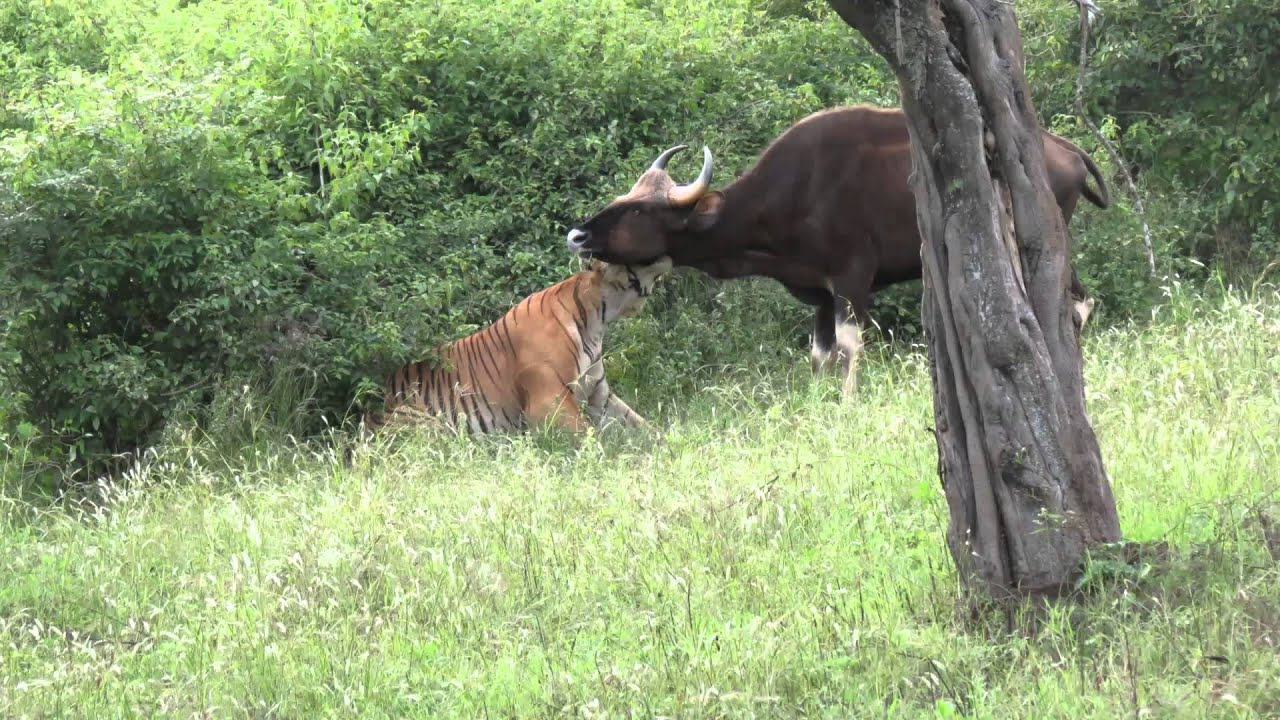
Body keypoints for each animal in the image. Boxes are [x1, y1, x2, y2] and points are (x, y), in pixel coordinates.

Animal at [564, 105, 1110, 396]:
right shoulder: (820, 293)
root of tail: (1065, 148)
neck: (788, 197)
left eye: (639, 212)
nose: (577, 235)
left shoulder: (852, 278)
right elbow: (819, 354)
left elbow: (850, 345)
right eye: (623, 199)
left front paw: (848, 402)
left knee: (1075, 300)